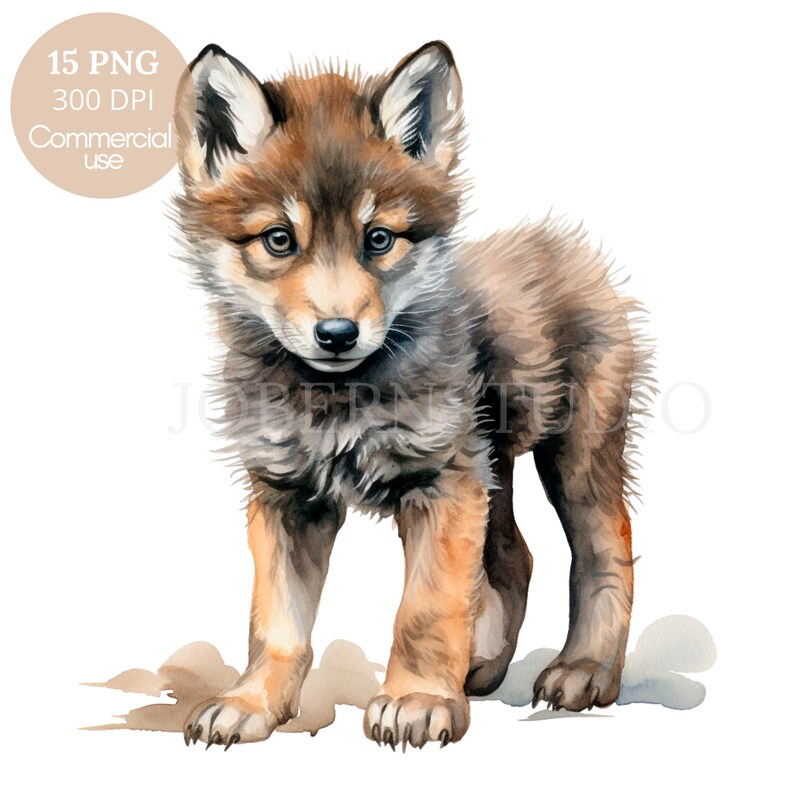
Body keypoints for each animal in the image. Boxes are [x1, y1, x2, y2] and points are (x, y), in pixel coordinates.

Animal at [173, 40, 653, 750]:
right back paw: (481, 668)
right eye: (279, 240)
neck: (338, 399)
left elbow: (425, 611)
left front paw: (418, 698)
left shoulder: (442, 483)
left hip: (571, 457)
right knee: (515, 558)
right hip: (492, 466)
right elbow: (276, 626)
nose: (337, 334)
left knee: (604, 552)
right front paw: (252, 702)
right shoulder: (287, 494)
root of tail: (567, 245)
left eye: (379, 239)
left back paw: (585, 670)